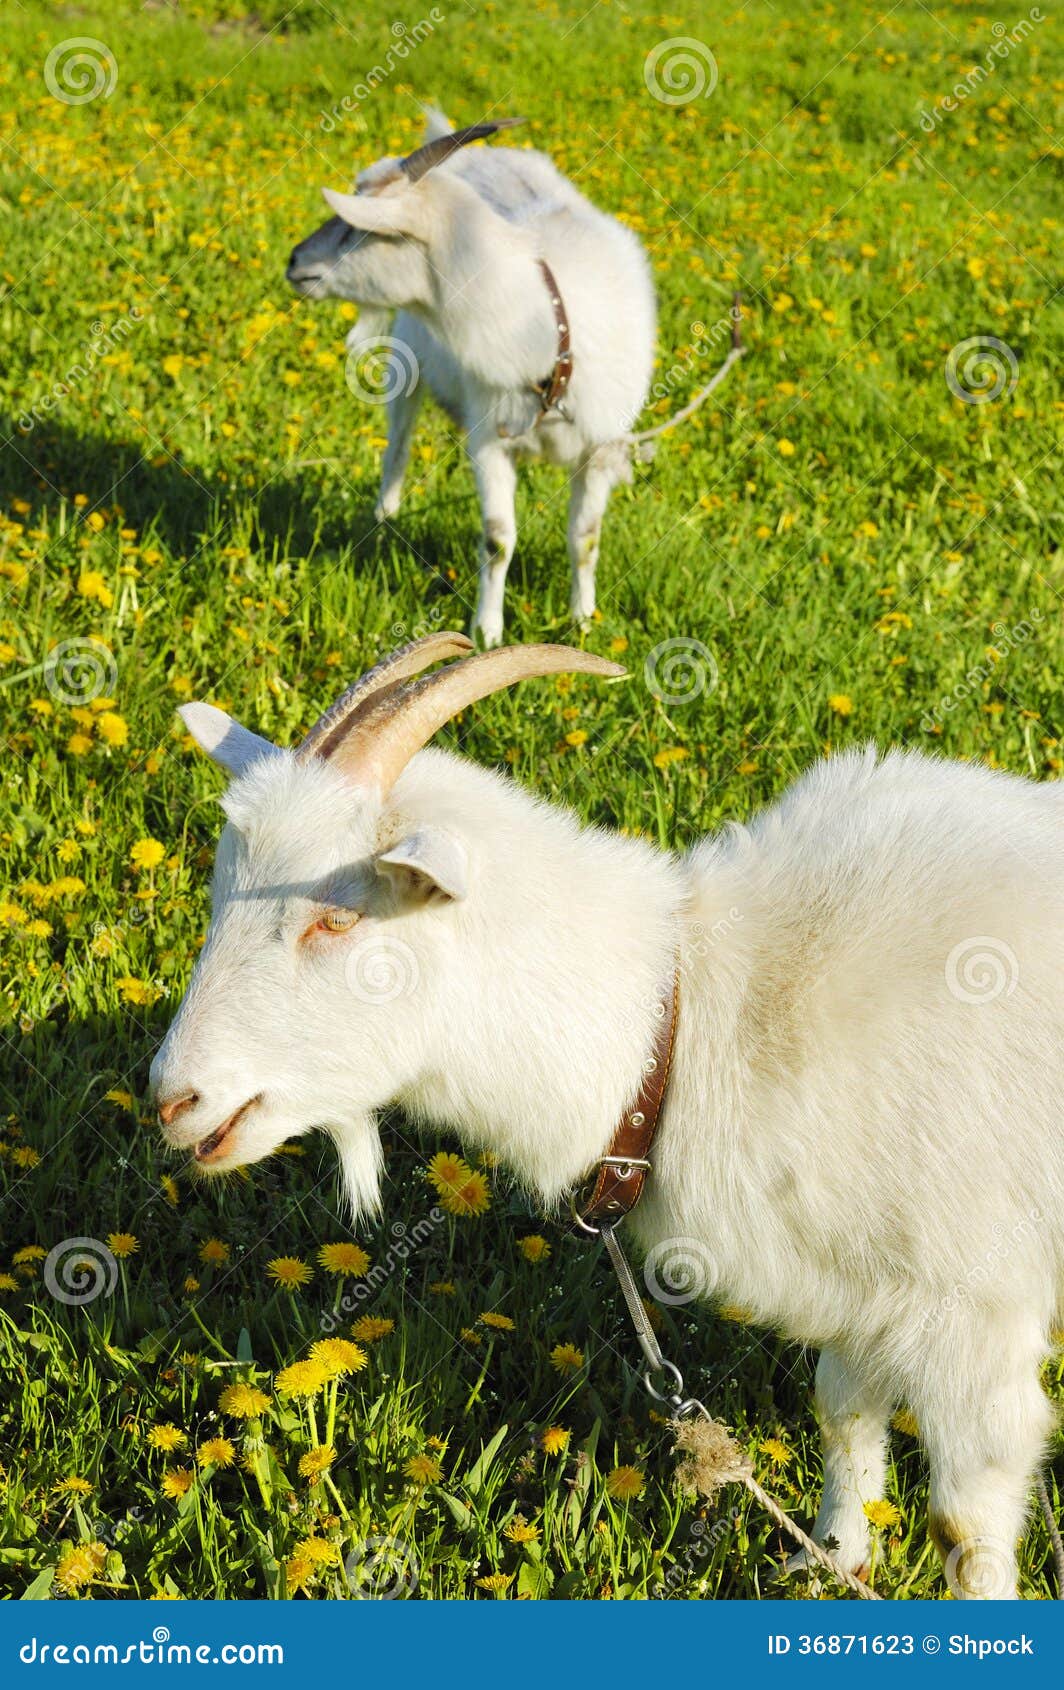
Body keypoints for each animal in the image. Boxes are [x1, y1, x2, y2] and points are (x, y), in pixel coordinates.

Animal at [153, 633, 1064, 1600]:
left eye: (335, 919)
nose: (172, 1099)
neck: (695, 1011)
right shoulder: (860, 1285)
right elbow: (844, 1414)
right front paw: (831, 1558)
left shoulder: (976, 1315)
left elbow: (964, 1527)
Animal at [285, 112, 656, 647]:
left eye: (356, 230)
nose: (294, 261)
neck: (551, 329)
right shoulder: (490, 441)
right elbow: (498, 539)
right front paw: (487, 633)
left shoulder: (599, 448)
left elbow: (585, 539)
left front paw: (583, 621)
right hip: (408, 364)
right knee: (397, 447)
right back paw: (384, 522)